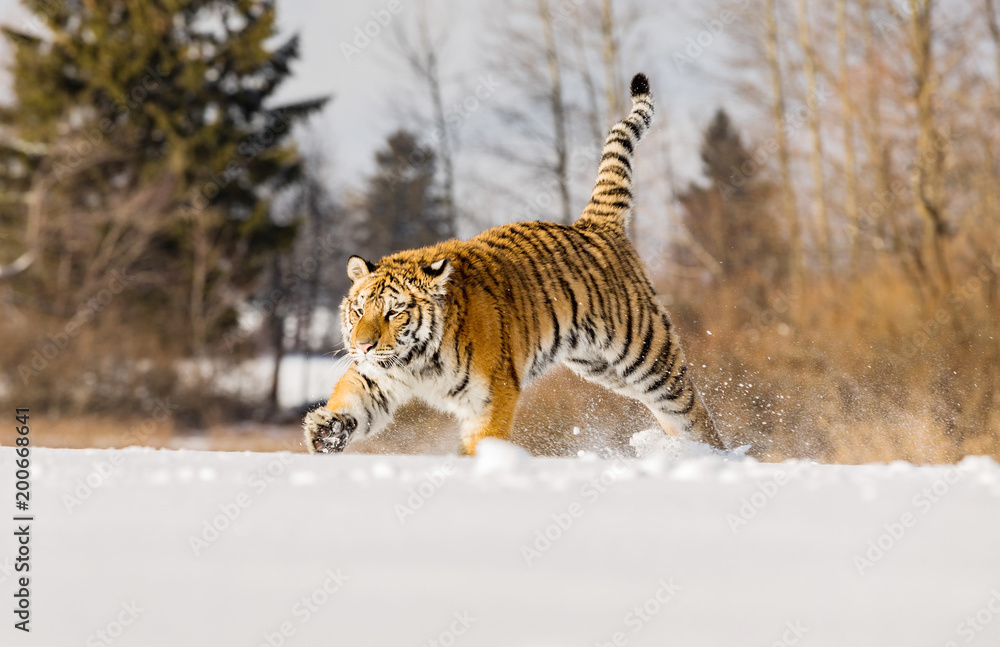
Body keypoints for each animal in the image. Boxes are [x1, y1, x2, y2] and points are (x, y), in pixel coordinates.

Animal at [303, 73, 725, 456]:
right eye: (359, 311)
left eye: (394, 312)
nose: (363, 345)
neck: (415, 362)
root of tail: (593, 224)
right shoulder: (375, 377)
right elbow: (351, 399)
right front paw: (327, 429)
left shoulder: (492, 393)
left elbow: (484, 439)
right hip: (601, 366)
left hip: (646, 356)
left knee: (691, 412)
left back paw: (714, 456)